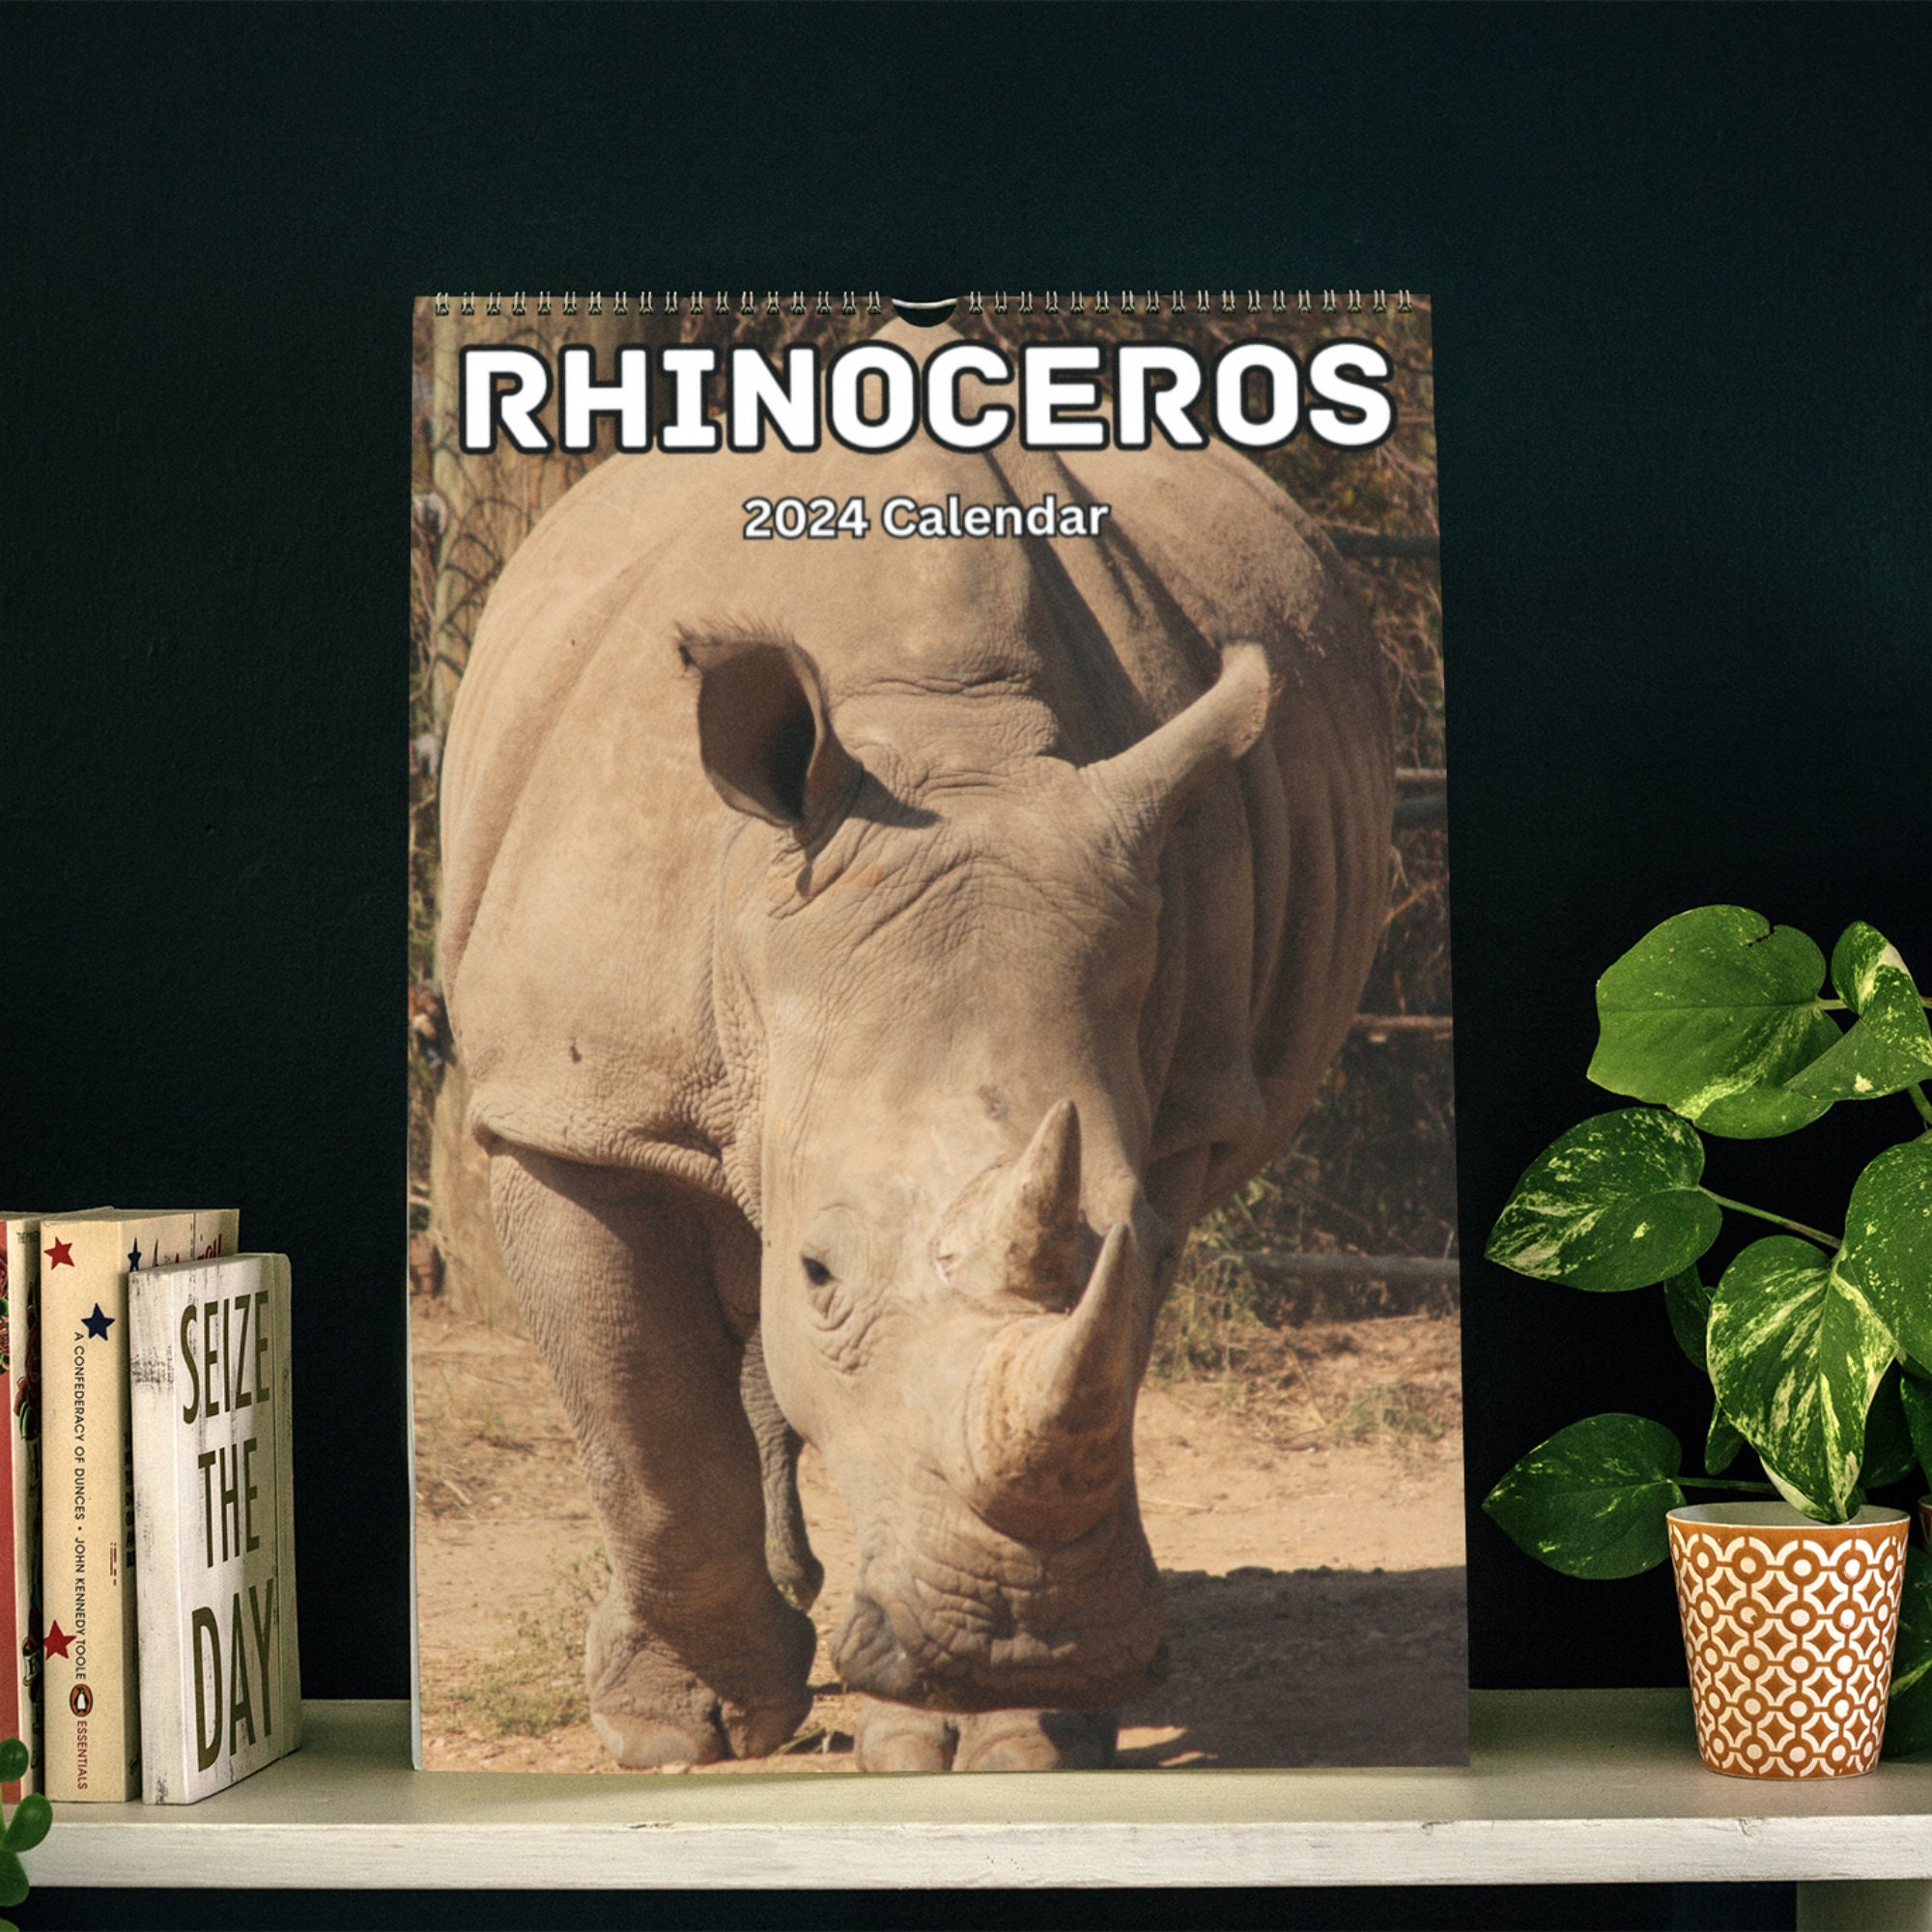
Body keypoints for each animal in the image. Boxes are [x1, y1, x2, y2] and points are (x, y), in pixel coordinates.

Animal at [437, 321, 1395, 1771]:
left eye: (1147, 1247)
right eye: (823, 1271)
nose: (1024, 1639)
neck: (948, 747)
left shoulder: (1174, 1104)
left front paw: (995, 1730)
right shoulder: (571, 1105)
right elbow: (645, 1439)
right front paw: (684, 1729)